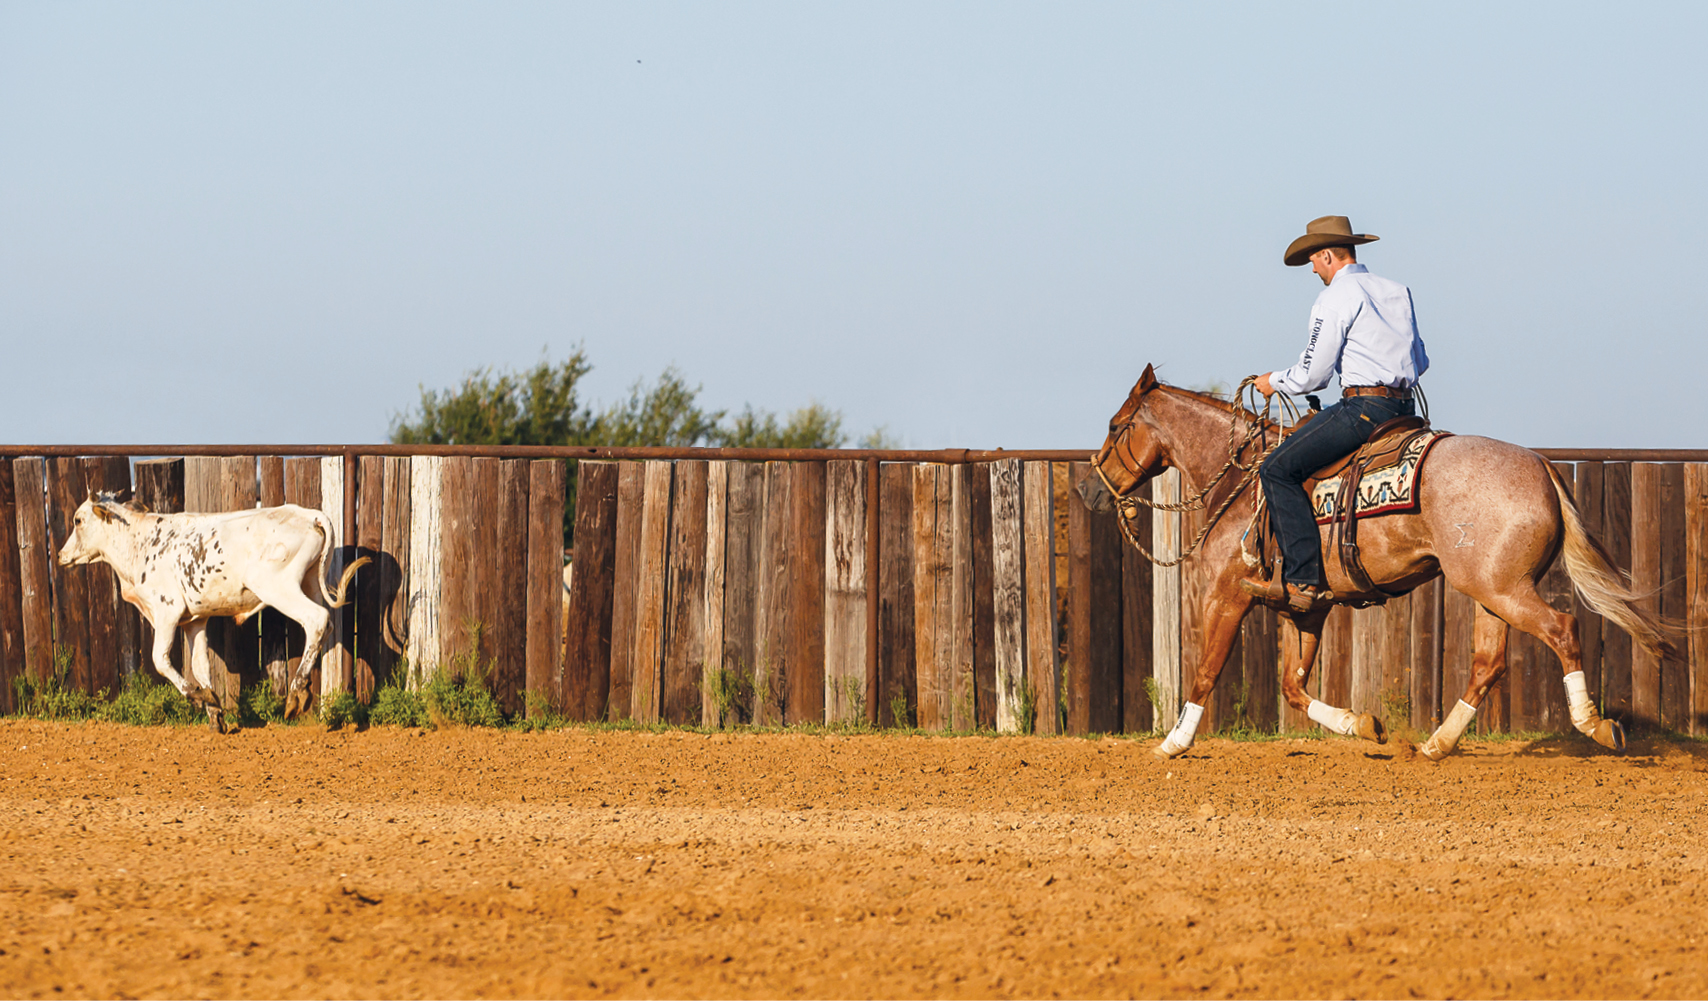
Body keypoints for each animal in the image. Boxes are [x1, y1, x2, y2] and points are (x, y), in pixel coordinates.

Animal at [56, 493, 368, 732]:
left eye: (78, 520)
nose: (60, 555)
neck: (141, 544)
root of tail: (309, 515)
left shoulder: (167, 611)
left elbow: (161, 660)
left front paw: (197, 695)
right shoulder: (194, 622)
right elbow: (200, 667)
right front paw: (214, 712)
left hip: (276, 587)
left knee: (316, 620)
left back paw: (294, 694)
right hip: (309, 583)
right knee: (326, 627)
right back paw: (305, 691)